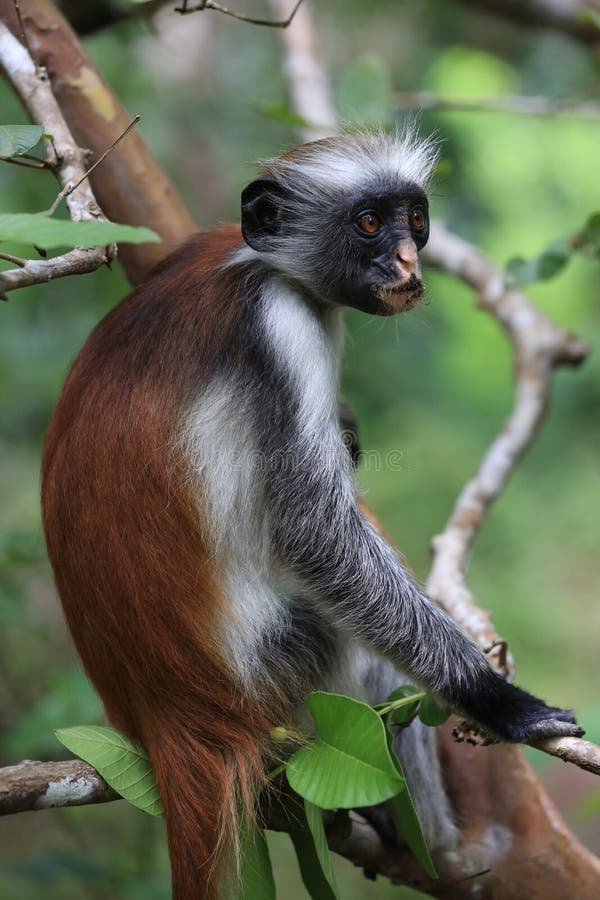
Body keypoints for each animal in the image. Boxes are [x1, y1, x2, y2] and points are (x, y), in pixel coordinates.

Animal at [41, 129, 583, 899]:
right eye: (368, 223)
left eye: (414, 219)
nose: (408, 259)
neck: (259, 265)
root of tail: (171, 718)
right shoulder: (278, 327)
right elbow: (314, 535)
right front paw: (494, 698)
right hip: (278, 670)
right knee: (362, 649)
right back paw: (431, 842)